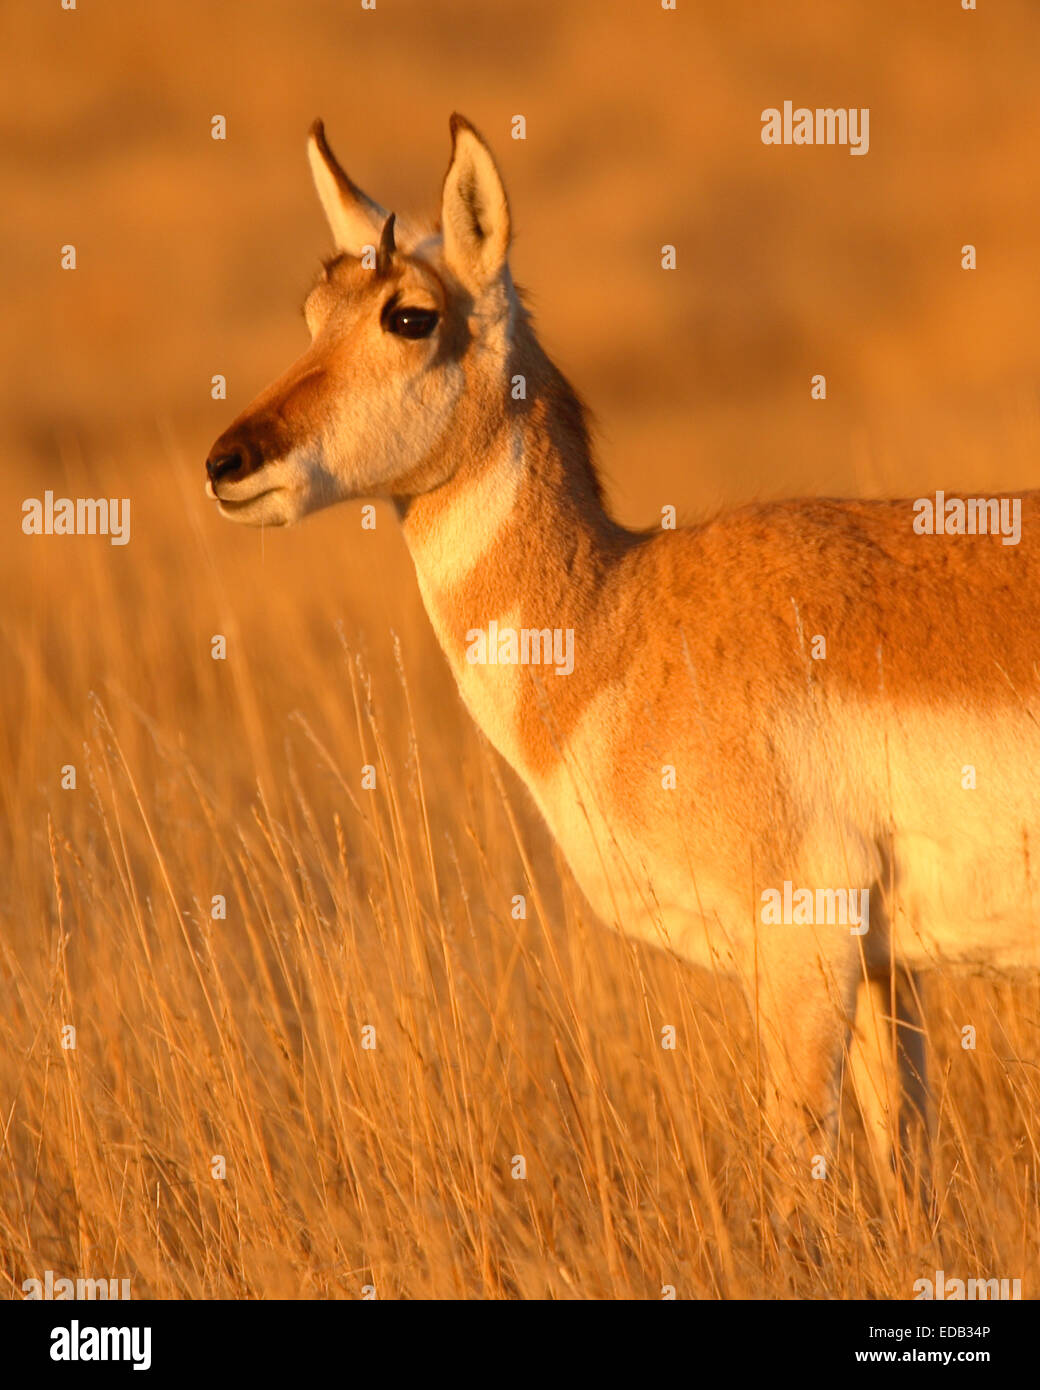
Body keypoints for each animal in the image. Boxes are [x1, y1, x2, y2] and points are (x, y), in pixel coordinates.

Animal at [205, 114, 1038, 1212]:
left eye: (410, 315)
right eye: (311, 311)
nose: (227, 460)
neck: (621, 621)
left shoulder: (803, 949)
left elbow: (795, 1178)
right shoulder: (882, 968)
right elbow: (903, 1166)